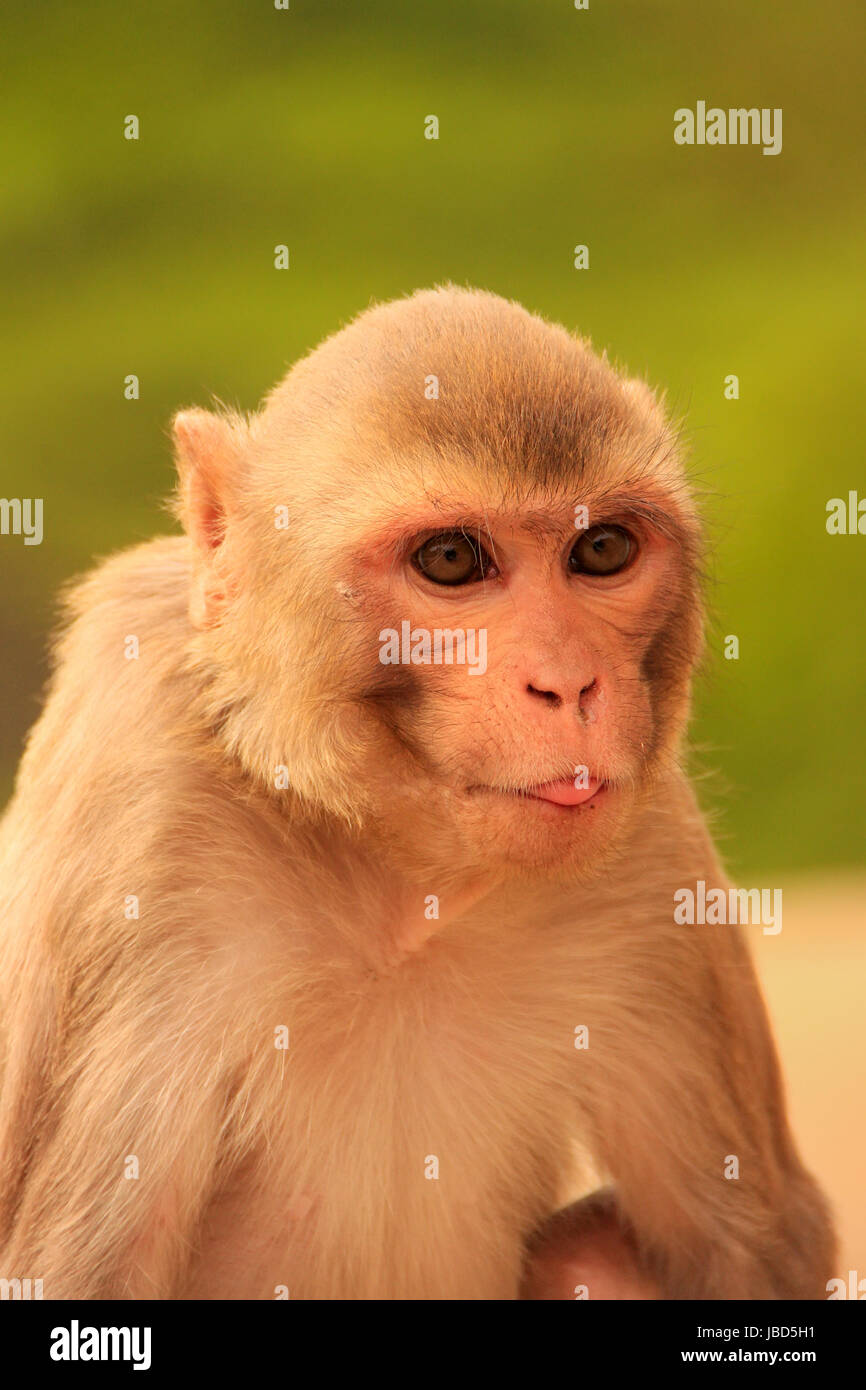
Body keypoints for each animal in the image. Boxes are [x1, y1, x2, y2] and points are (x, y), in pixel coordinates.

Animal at [0, 286, 835, 1300]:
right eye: (449, 561)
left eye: (602, 548)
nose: (570, 683)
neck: (400, 881)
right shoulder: (132, 787)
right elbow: (71, 1272)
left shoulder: (649, 837)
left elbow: (755, 1250)